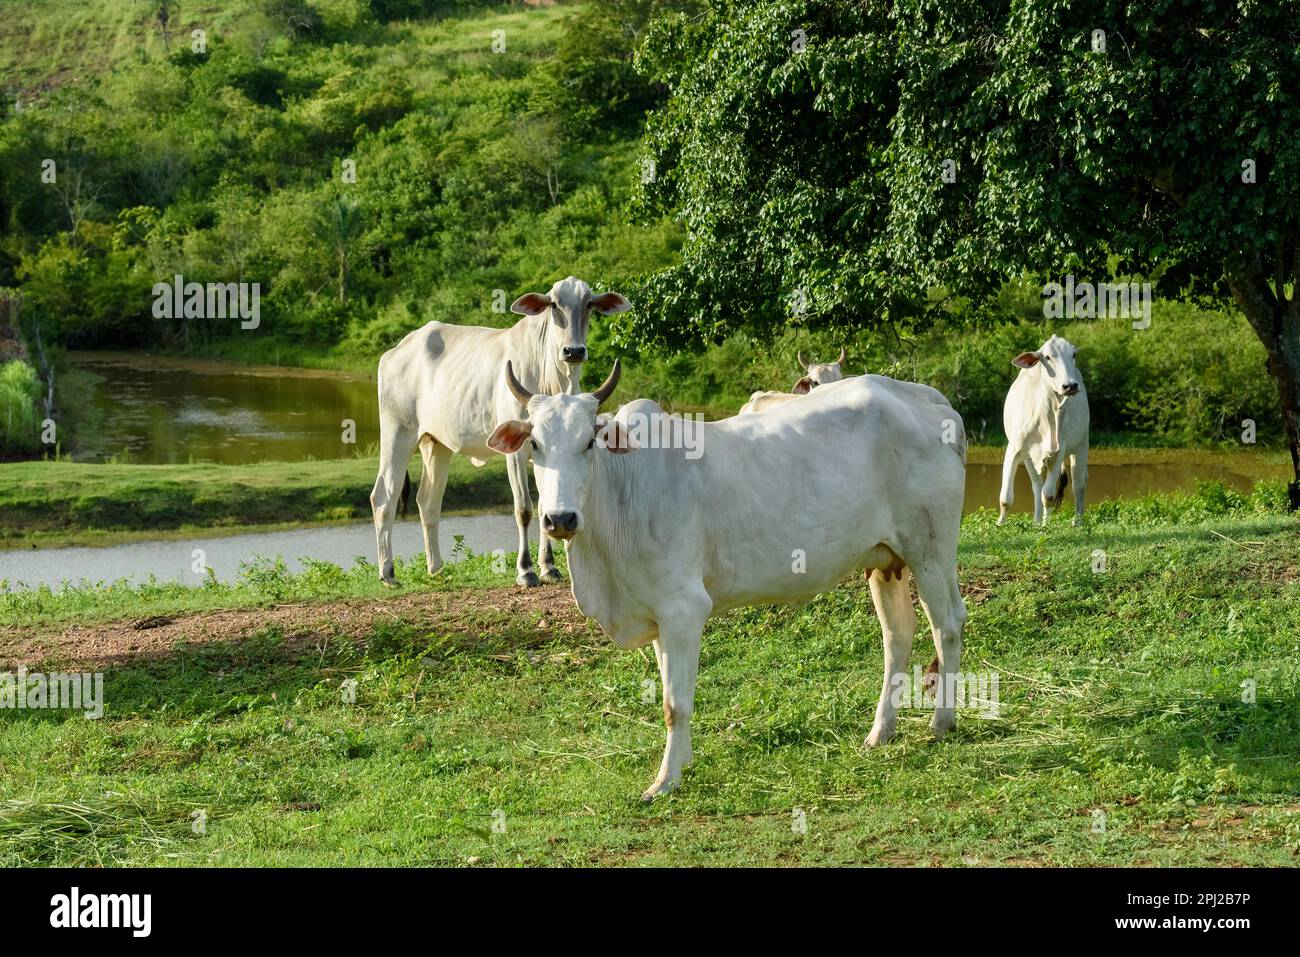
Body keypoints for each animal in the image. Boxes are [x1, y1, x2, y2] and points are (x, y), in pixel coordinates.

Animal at [369, 276, 631, 587]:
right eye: (554, 304)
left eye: (589, 304)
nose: (574, 351)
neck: (551, 377)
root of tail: (394, 352)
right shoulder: (517, 453)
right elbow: (524, 509)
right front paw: (526, 570)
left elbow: (544, 504)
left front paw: (548, 567)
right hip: (397, 433)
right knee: (384, 497)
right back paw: (387, 573)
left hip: (436, 444)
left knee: (428, 502)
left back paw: (436, 568)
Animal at [488, 361, 968, 800]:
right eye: (535, 444)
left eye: (589, 441)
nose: (560, 518)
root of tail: (925, 397)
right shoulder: (660, 618)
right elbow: (671, 696)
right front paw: (681, 763)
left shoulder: (683, 609)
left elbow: (675, 704)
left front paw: (665, 781)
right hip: (885, 559)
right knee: (897, 635)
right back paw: (880, 732)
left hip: (931, 550)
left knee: (947, 624)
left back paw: (940, 722)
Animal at [997, 334, 1090, 526]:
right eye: (1047, 357)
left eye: (1074, 354)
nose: (1070, 386)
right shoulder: (1014, 448)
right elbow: (1005, 497)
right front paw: (999, 524)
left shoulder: (1059, 450)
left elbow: (1048, 495)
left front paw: (1046, 526)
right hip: (1029, 458)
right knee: (1037, 484)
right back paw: (1036, 520)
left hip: (1082, 443)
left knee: (1079, 484)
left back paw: (1077, 522)